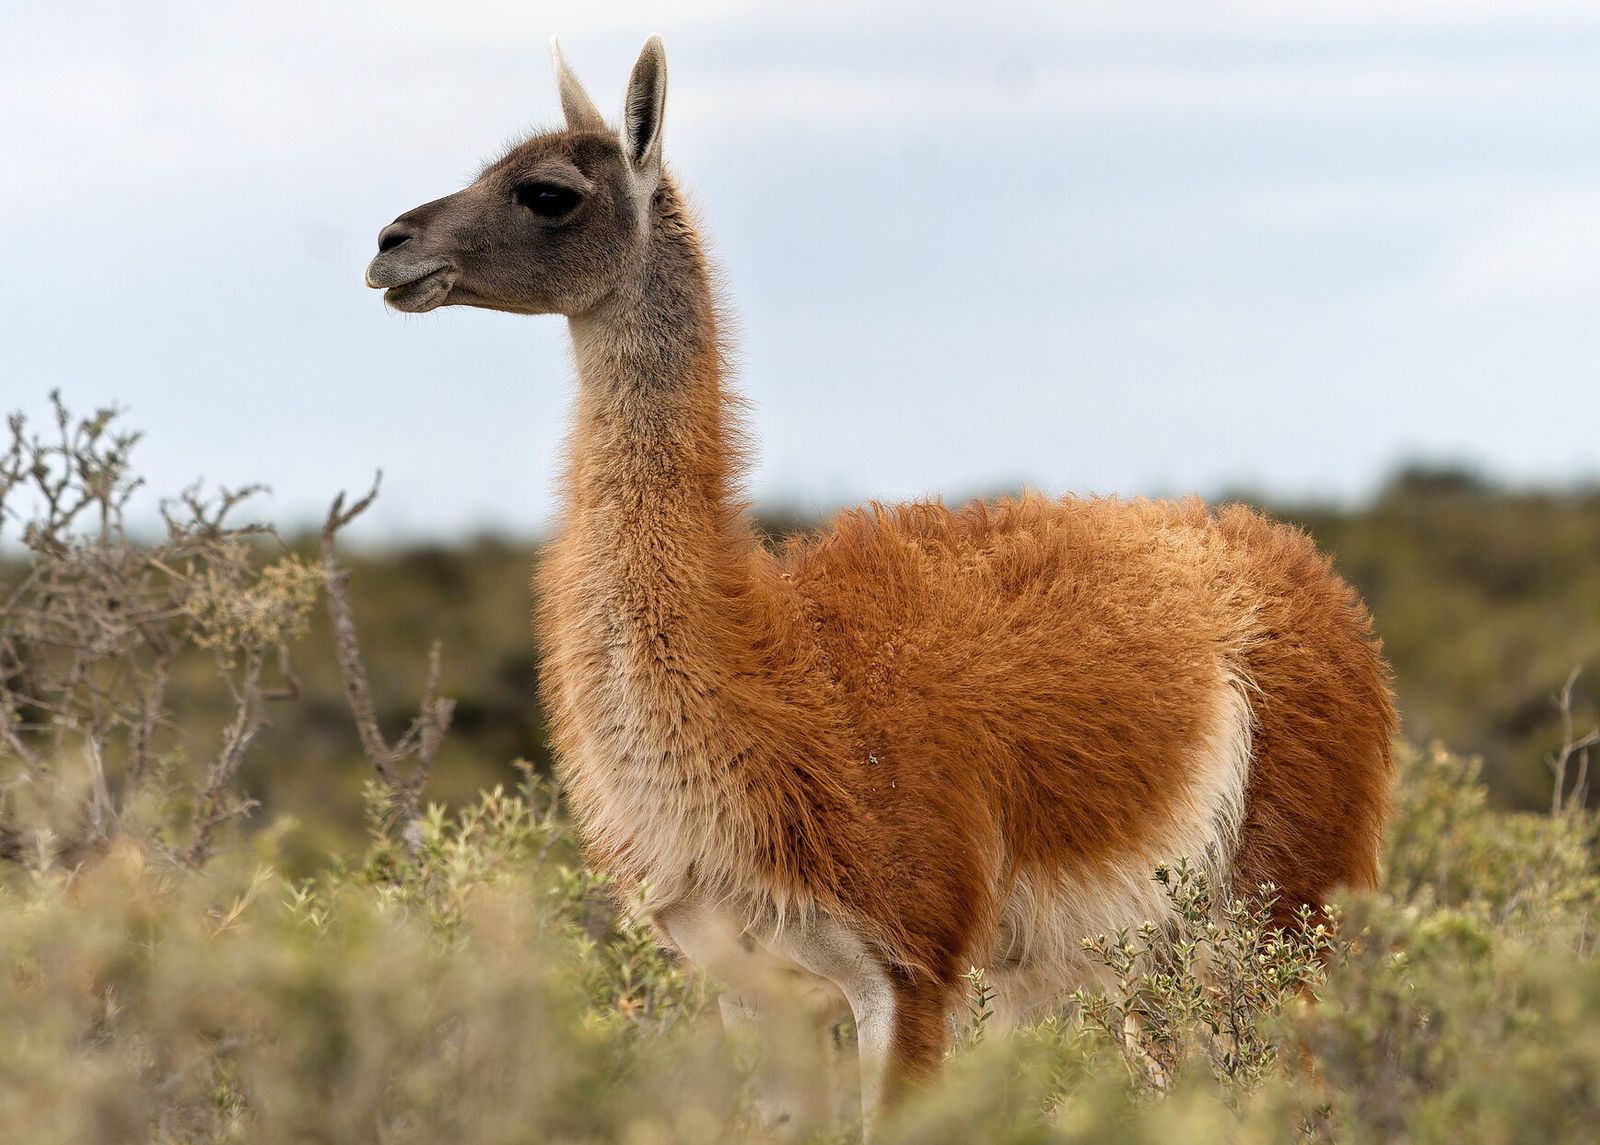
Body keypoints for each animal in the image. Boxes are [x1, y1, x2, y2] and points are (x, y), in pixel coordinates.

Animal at [364, 36, 1394, 1136]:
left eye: (547, 191)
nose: (390, 243)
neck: (776, 671)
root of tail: (1308, 571)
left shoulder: (910, 956)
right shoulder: (755, 982)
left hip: (1286, 896)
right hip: (1156, 956)